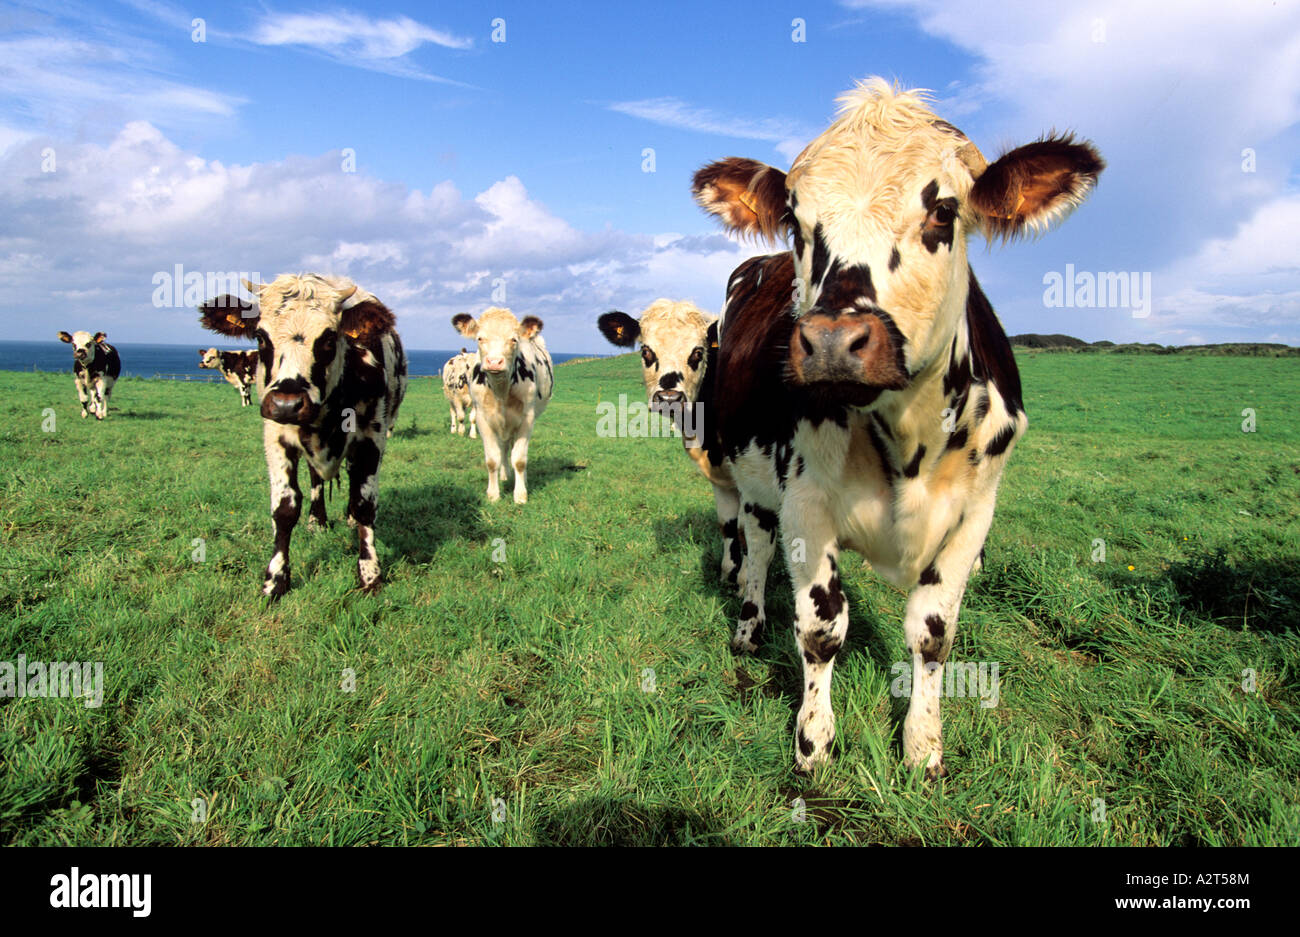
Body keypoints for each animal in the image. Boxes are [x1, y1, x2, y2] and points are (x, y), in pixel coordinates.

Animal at [198, 274, 408, 597]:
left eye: (329, 338)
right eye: (260, 336)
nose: (287, 403)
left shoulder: (372, 436)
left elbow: (364, 505)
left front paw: (370, 574)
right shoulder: (275, 437)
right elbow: (285, 508)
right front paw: (275, 580)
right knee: (316, 480)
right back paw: (317, 520)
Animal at [451, 308, 553, 504]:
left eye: (514, 339)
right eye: (480, 338)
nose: (494, 362)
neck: (501, 390)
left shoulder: (526, 418)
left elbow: (520, 459)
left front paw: (520, 495)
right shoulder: (483, 417)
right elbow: (492, 459)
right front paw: (493, 494)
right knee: (505, 447)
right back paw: (505, 475)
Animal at [597, 301, 746, 589]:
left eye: (698, 352)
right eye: (646, 350)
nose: (669, 397)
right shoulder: (721, 478)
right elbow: (729, 524)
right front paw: (728, 575)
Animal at [691, 79, 1103, 777]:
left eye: (944, 211)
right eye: (796, 221)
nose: (832, 343)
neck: (910, 439)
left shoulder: (974, 515)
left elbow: (932, 633)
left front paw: (923, 746)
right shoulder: (804, 505)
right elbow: (820, 628)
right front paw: (813, 743)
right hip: (751, 484)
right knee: (754, 554)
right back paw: (748, 630)